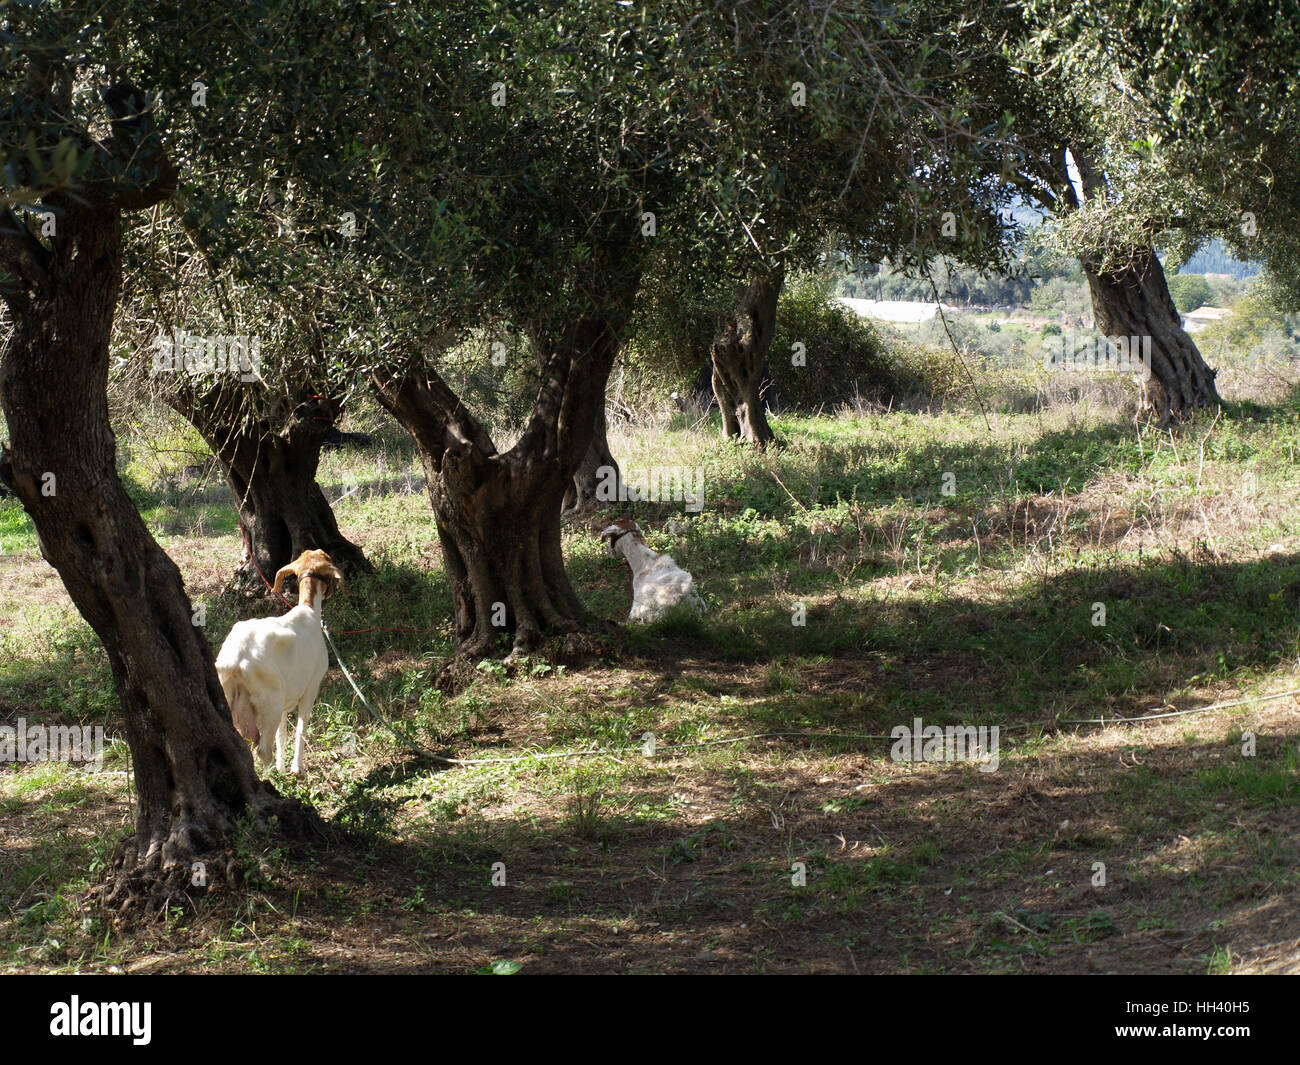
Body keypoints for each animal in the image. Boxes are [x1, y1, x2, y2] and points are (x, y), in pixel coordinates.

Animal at [215, 549, 343, 776]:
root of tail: (235, 661)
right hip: (270, 702)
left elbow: (282, 734)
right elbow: (301, 728)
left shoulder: (286, 702)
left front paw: (282, 766)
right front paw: (296, 769)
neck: (308, 610)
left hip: (230, 699)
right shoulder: (311, 688)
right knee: (263, 751)